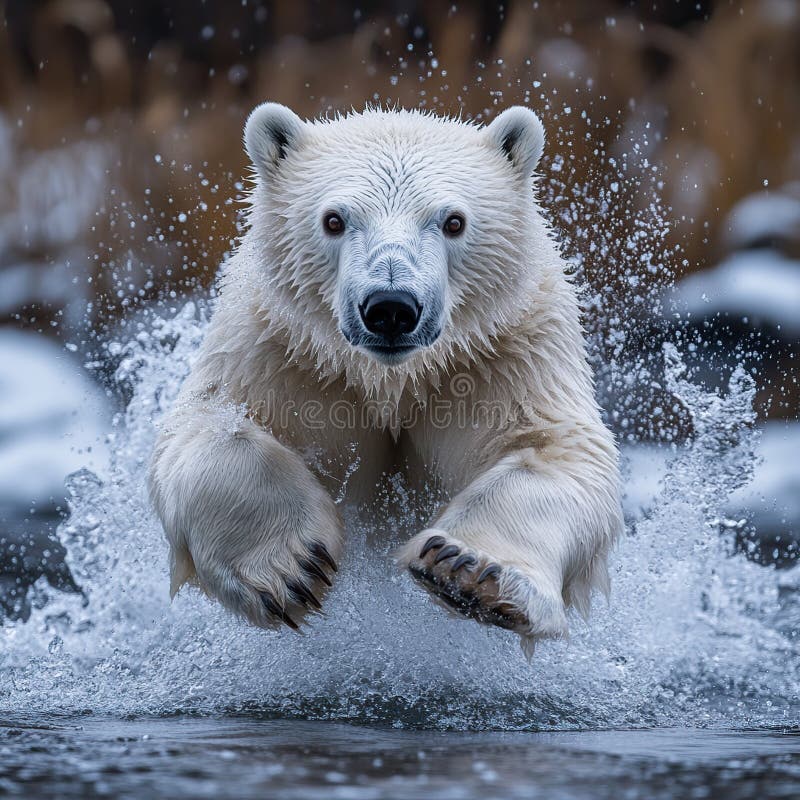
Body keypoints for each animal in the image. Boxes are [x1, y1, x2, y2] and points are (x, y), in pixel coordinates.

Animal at [147, 102, 624, 657]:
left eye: (454, 221)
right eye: (334, 219)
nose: (391, 308)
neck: (391, 378)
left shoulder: (502, 355)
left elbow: (556, 452)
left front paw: (469, 570)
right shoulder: (280, 351)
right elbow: (208, 429)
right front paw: (294, 566)